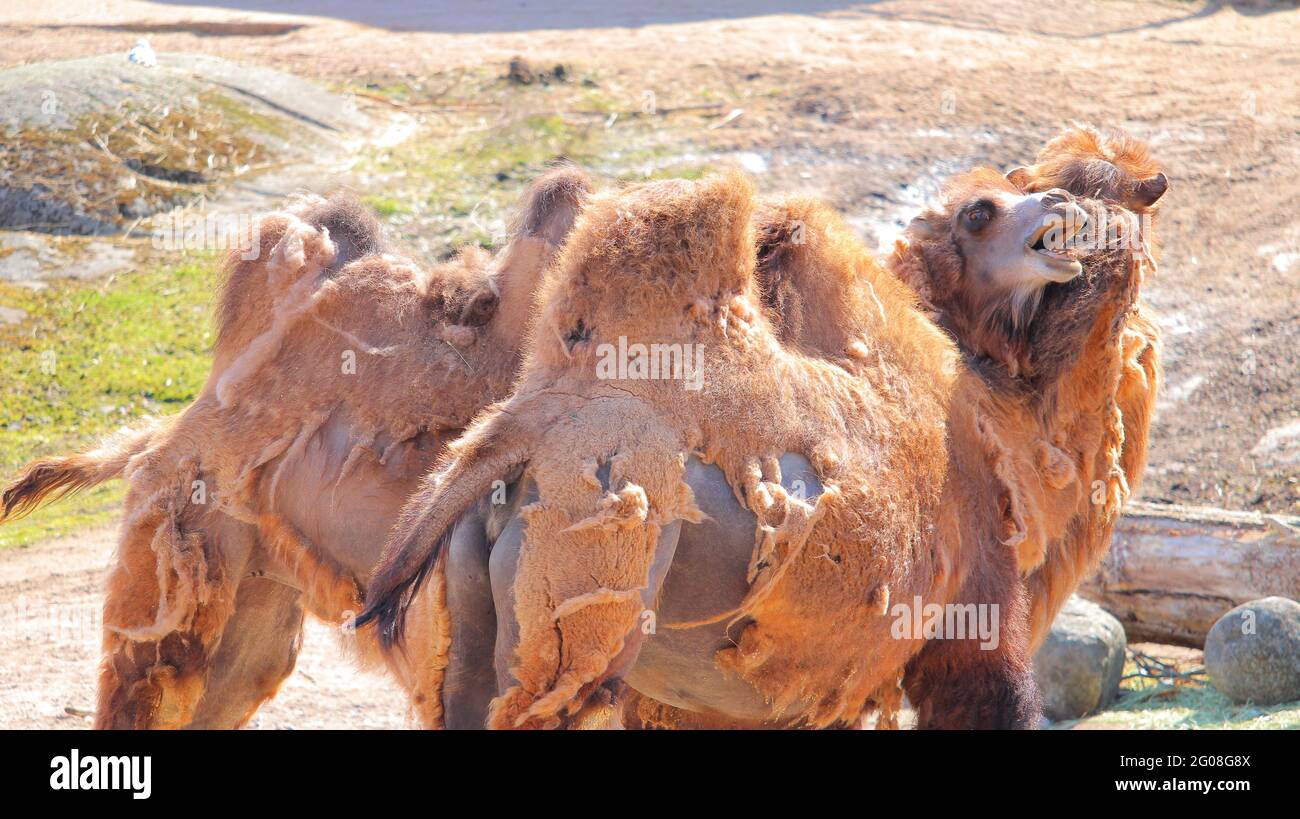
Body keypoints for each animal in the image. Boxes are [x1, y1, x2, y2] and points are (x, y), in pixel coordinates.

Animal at [354, 168, 1157, 729]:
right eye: (979, 211)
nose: (1059, 200)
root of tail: (525, 423)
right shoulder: (973, 612)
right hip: (584, 599)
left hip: (469, 598)